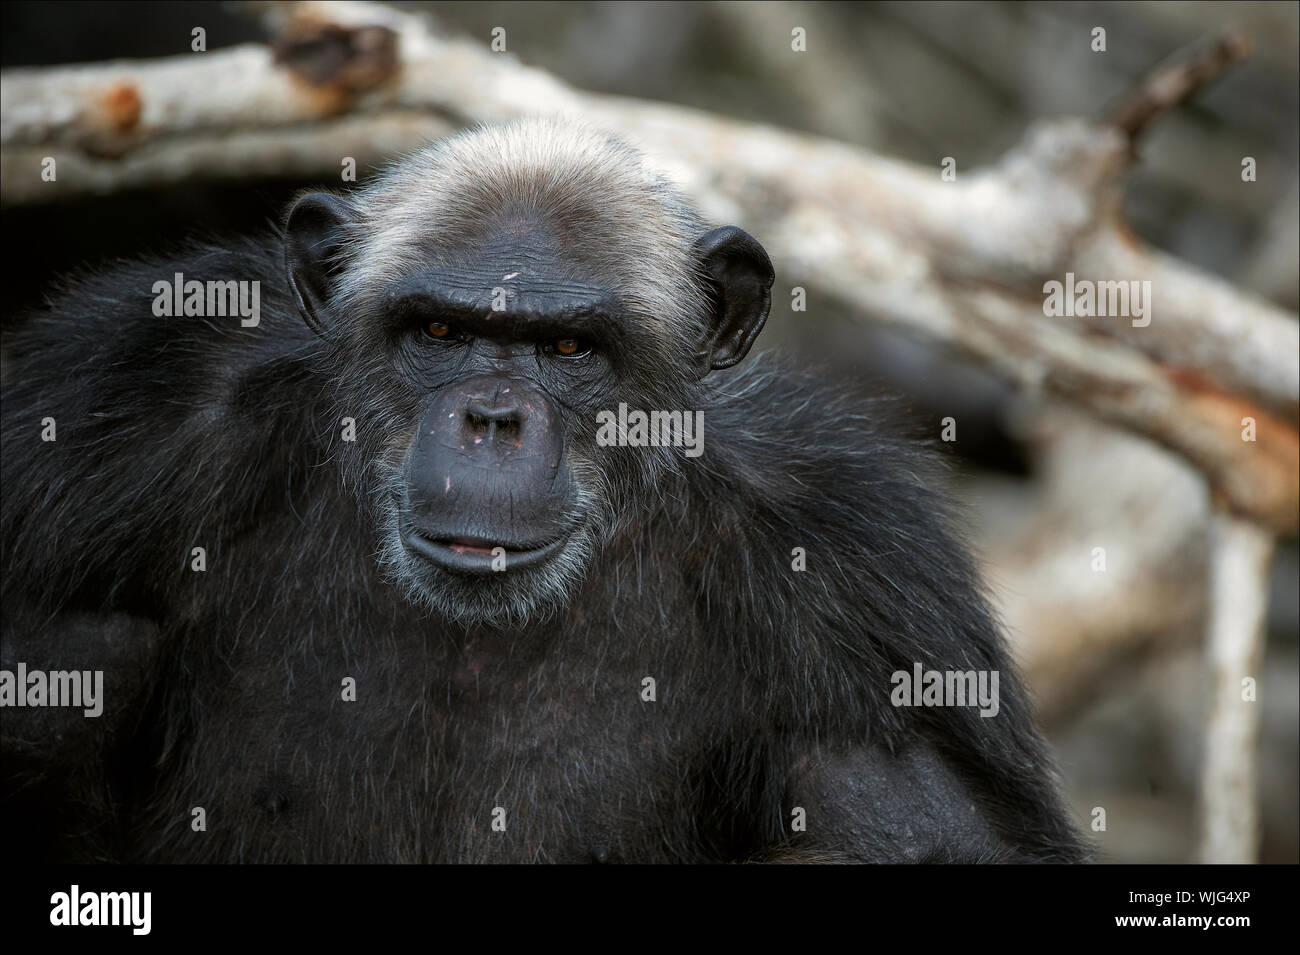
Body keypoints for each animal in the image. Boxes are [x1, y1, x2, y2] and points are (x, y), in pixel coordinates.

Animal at [0, 117, 1087, 863]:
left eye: (569, 348)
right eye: (439, 331)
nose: (491, 419)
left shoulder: (855, 562)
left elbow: (935, 822)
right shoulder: (114, 404)